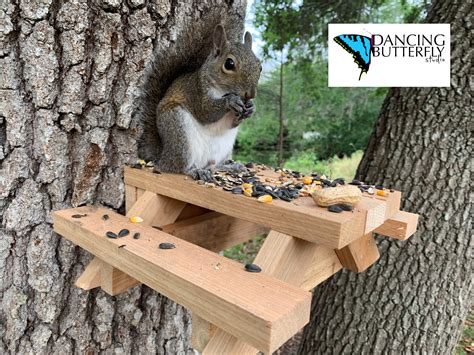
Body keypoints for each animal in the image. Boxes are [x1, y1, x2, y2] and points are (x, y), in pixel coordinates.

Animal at [137, 23, 262, 182]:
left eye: (260, 66)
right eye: (229, 64)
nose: (251, 94)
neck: (222, 90)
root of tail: (163, 155)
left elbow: (232, 123)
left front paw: (251, 108)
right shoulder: (197, 92)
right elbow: (206, 112)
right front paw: (230, 101)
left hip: (223, 149)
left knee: (213, 165)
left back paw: (229, 167)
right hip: (178, 131)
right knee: (175, 167)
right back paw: (195, 171)